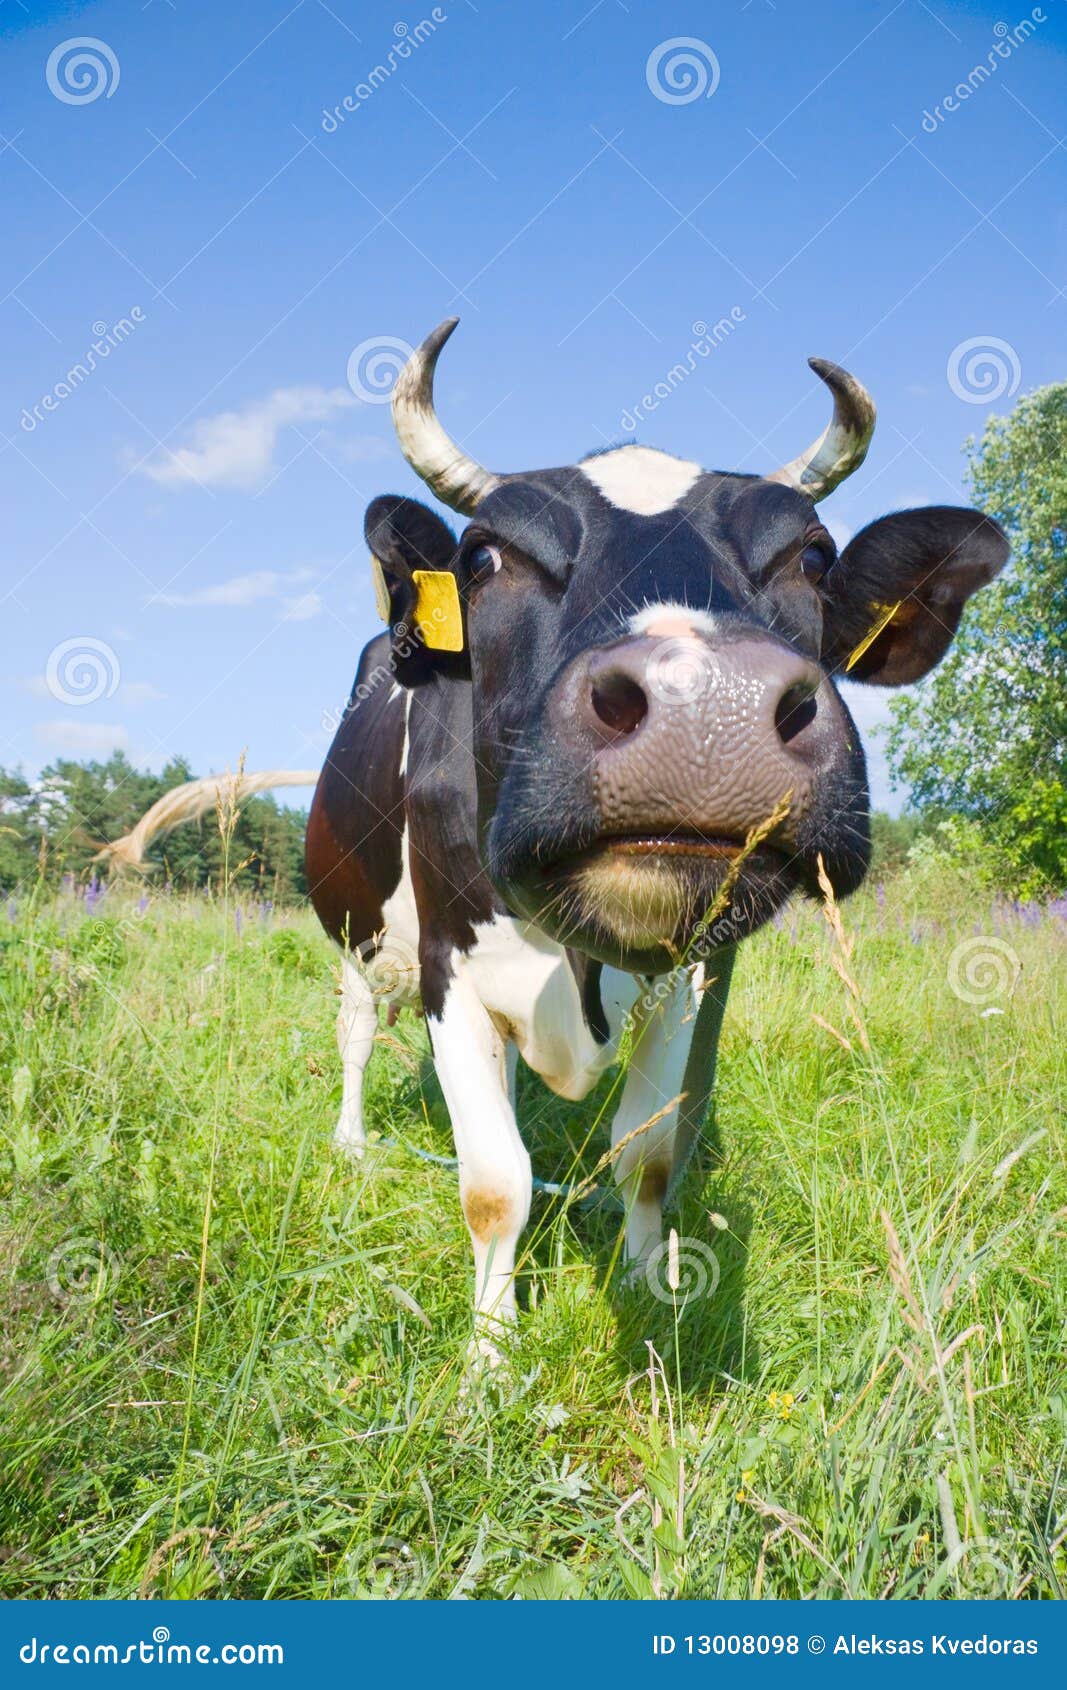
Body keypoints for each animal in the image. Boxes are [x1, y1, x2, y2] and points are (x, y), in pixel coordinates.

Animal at [110, 321, 1008, 1368]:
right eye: (485, 558)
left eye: (813, 559)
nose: (704, 711)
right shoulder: (447, 965)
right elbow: (492, 1180)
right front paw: (489, 1353)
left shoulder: (693, 976)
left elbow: (647, 1152)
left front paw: (651, 1286)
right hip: (353, 933)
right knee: (357, 1031)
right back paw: (352, 1142)